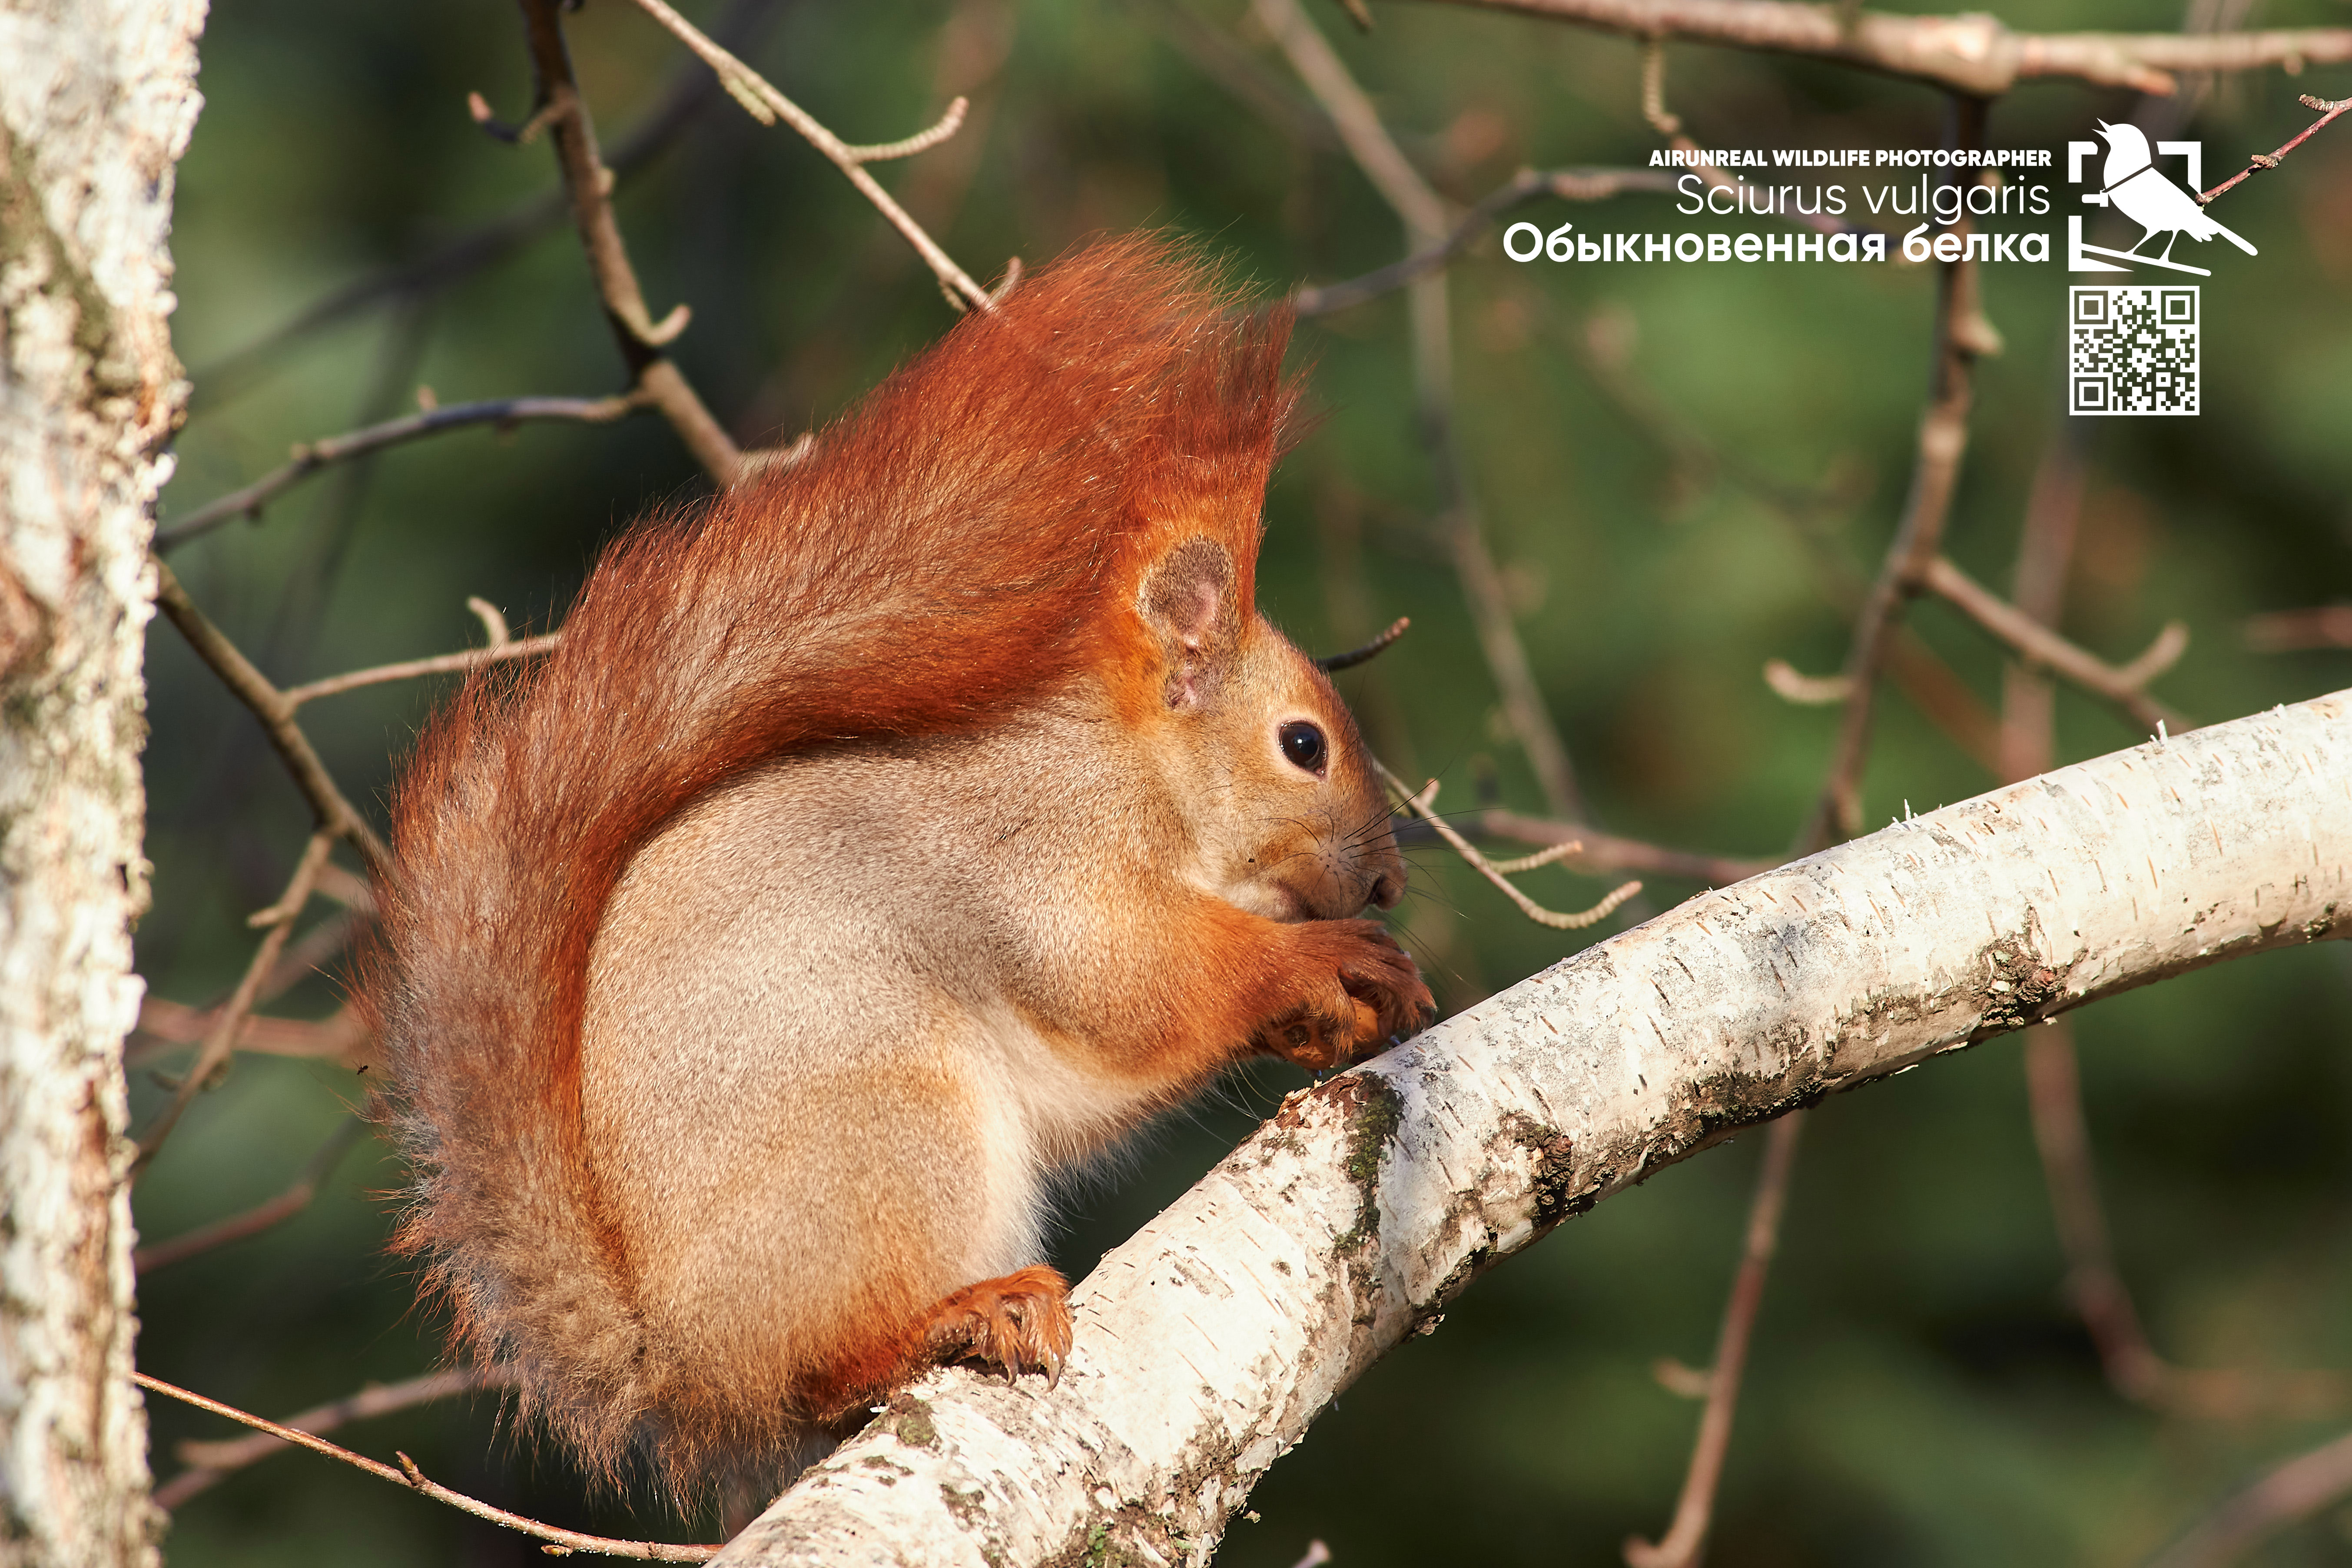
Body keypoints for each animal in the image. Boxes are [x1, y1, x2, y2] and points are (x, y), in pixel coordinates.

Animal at [367, 239, 1430, 1504]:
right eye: (1302, 745)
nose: (1385, 883)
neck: (1133, 774)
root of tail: (675, 1362)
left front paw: (1336, 1011)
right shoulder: (1032, 858)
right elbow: (1122, 983)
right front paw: (1321, 958)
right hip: (894, 1127)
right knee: (820, 1364)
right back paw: (957, 1316)